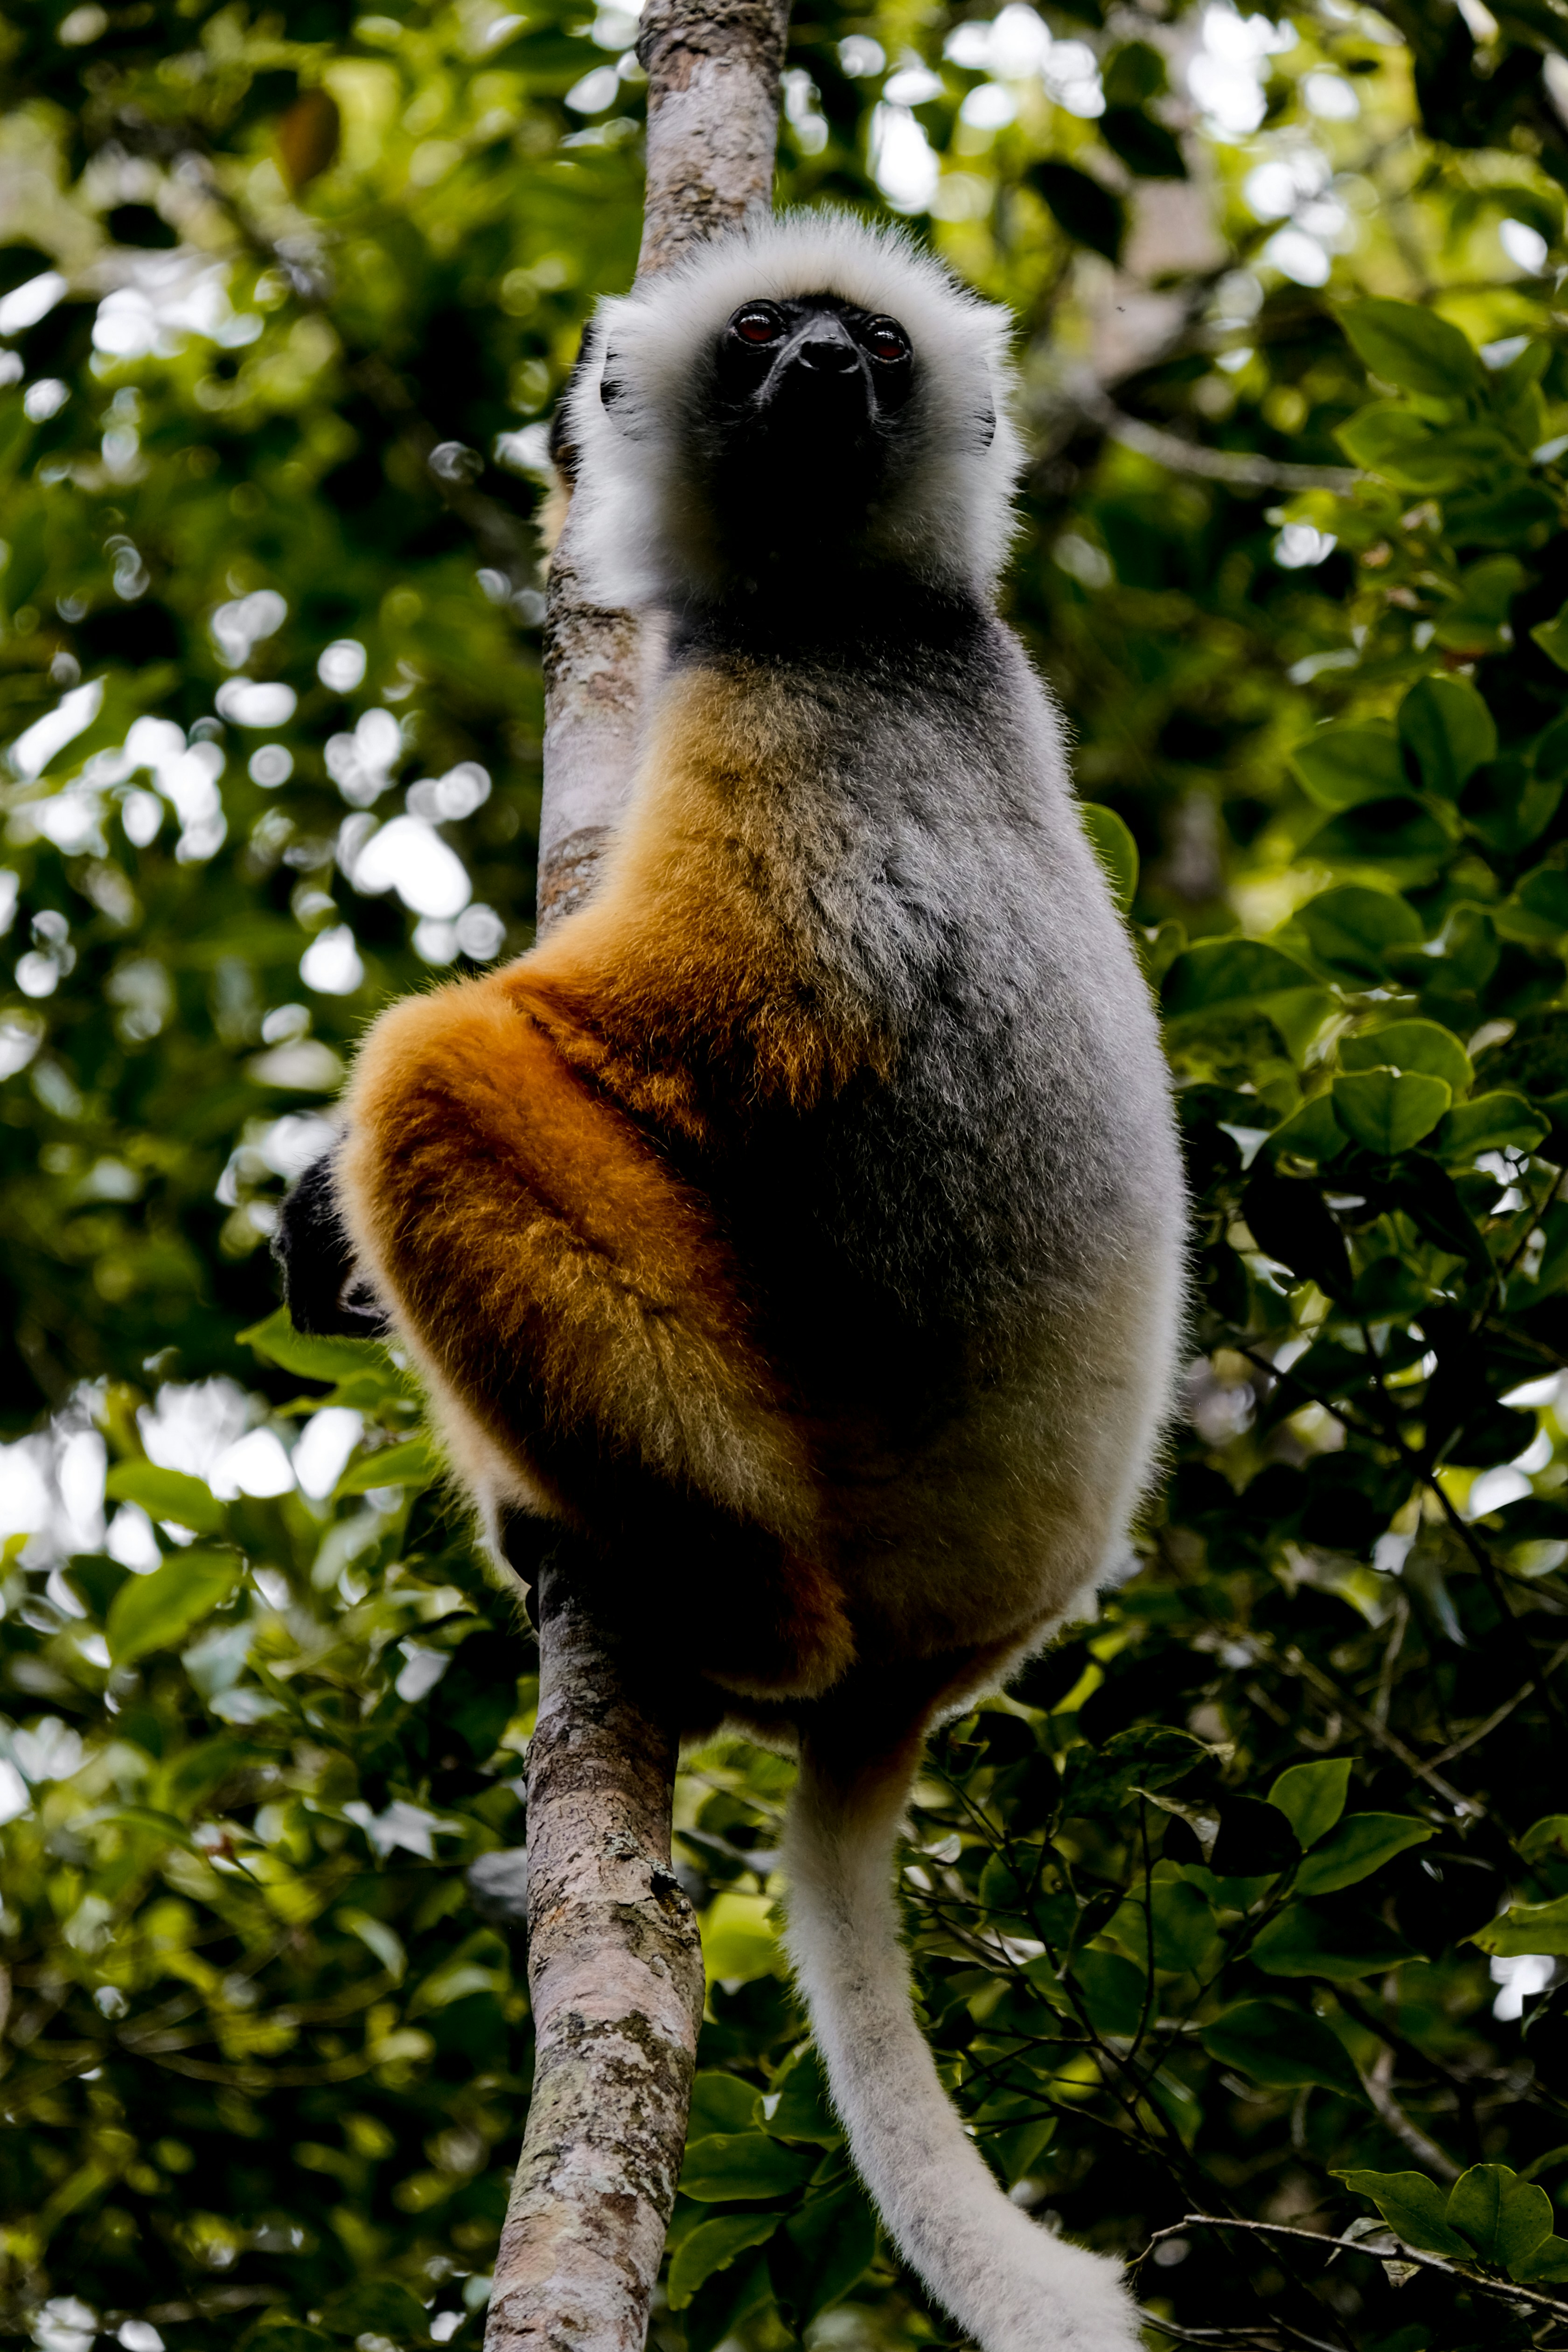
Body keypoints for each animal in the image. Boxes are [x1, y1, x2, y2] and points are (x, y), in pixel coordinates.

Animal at [277, 211, 1185, 2352]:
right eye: (773, 331)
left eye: (871, 350)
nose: (828, 377)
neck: (876, 608)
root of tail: (939, 1667)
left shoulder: (792, 713)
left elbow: (695, 1025)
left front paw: (297, 1203)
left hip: (844, 1461)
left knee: (432, 1081)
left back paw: (705, 1607)